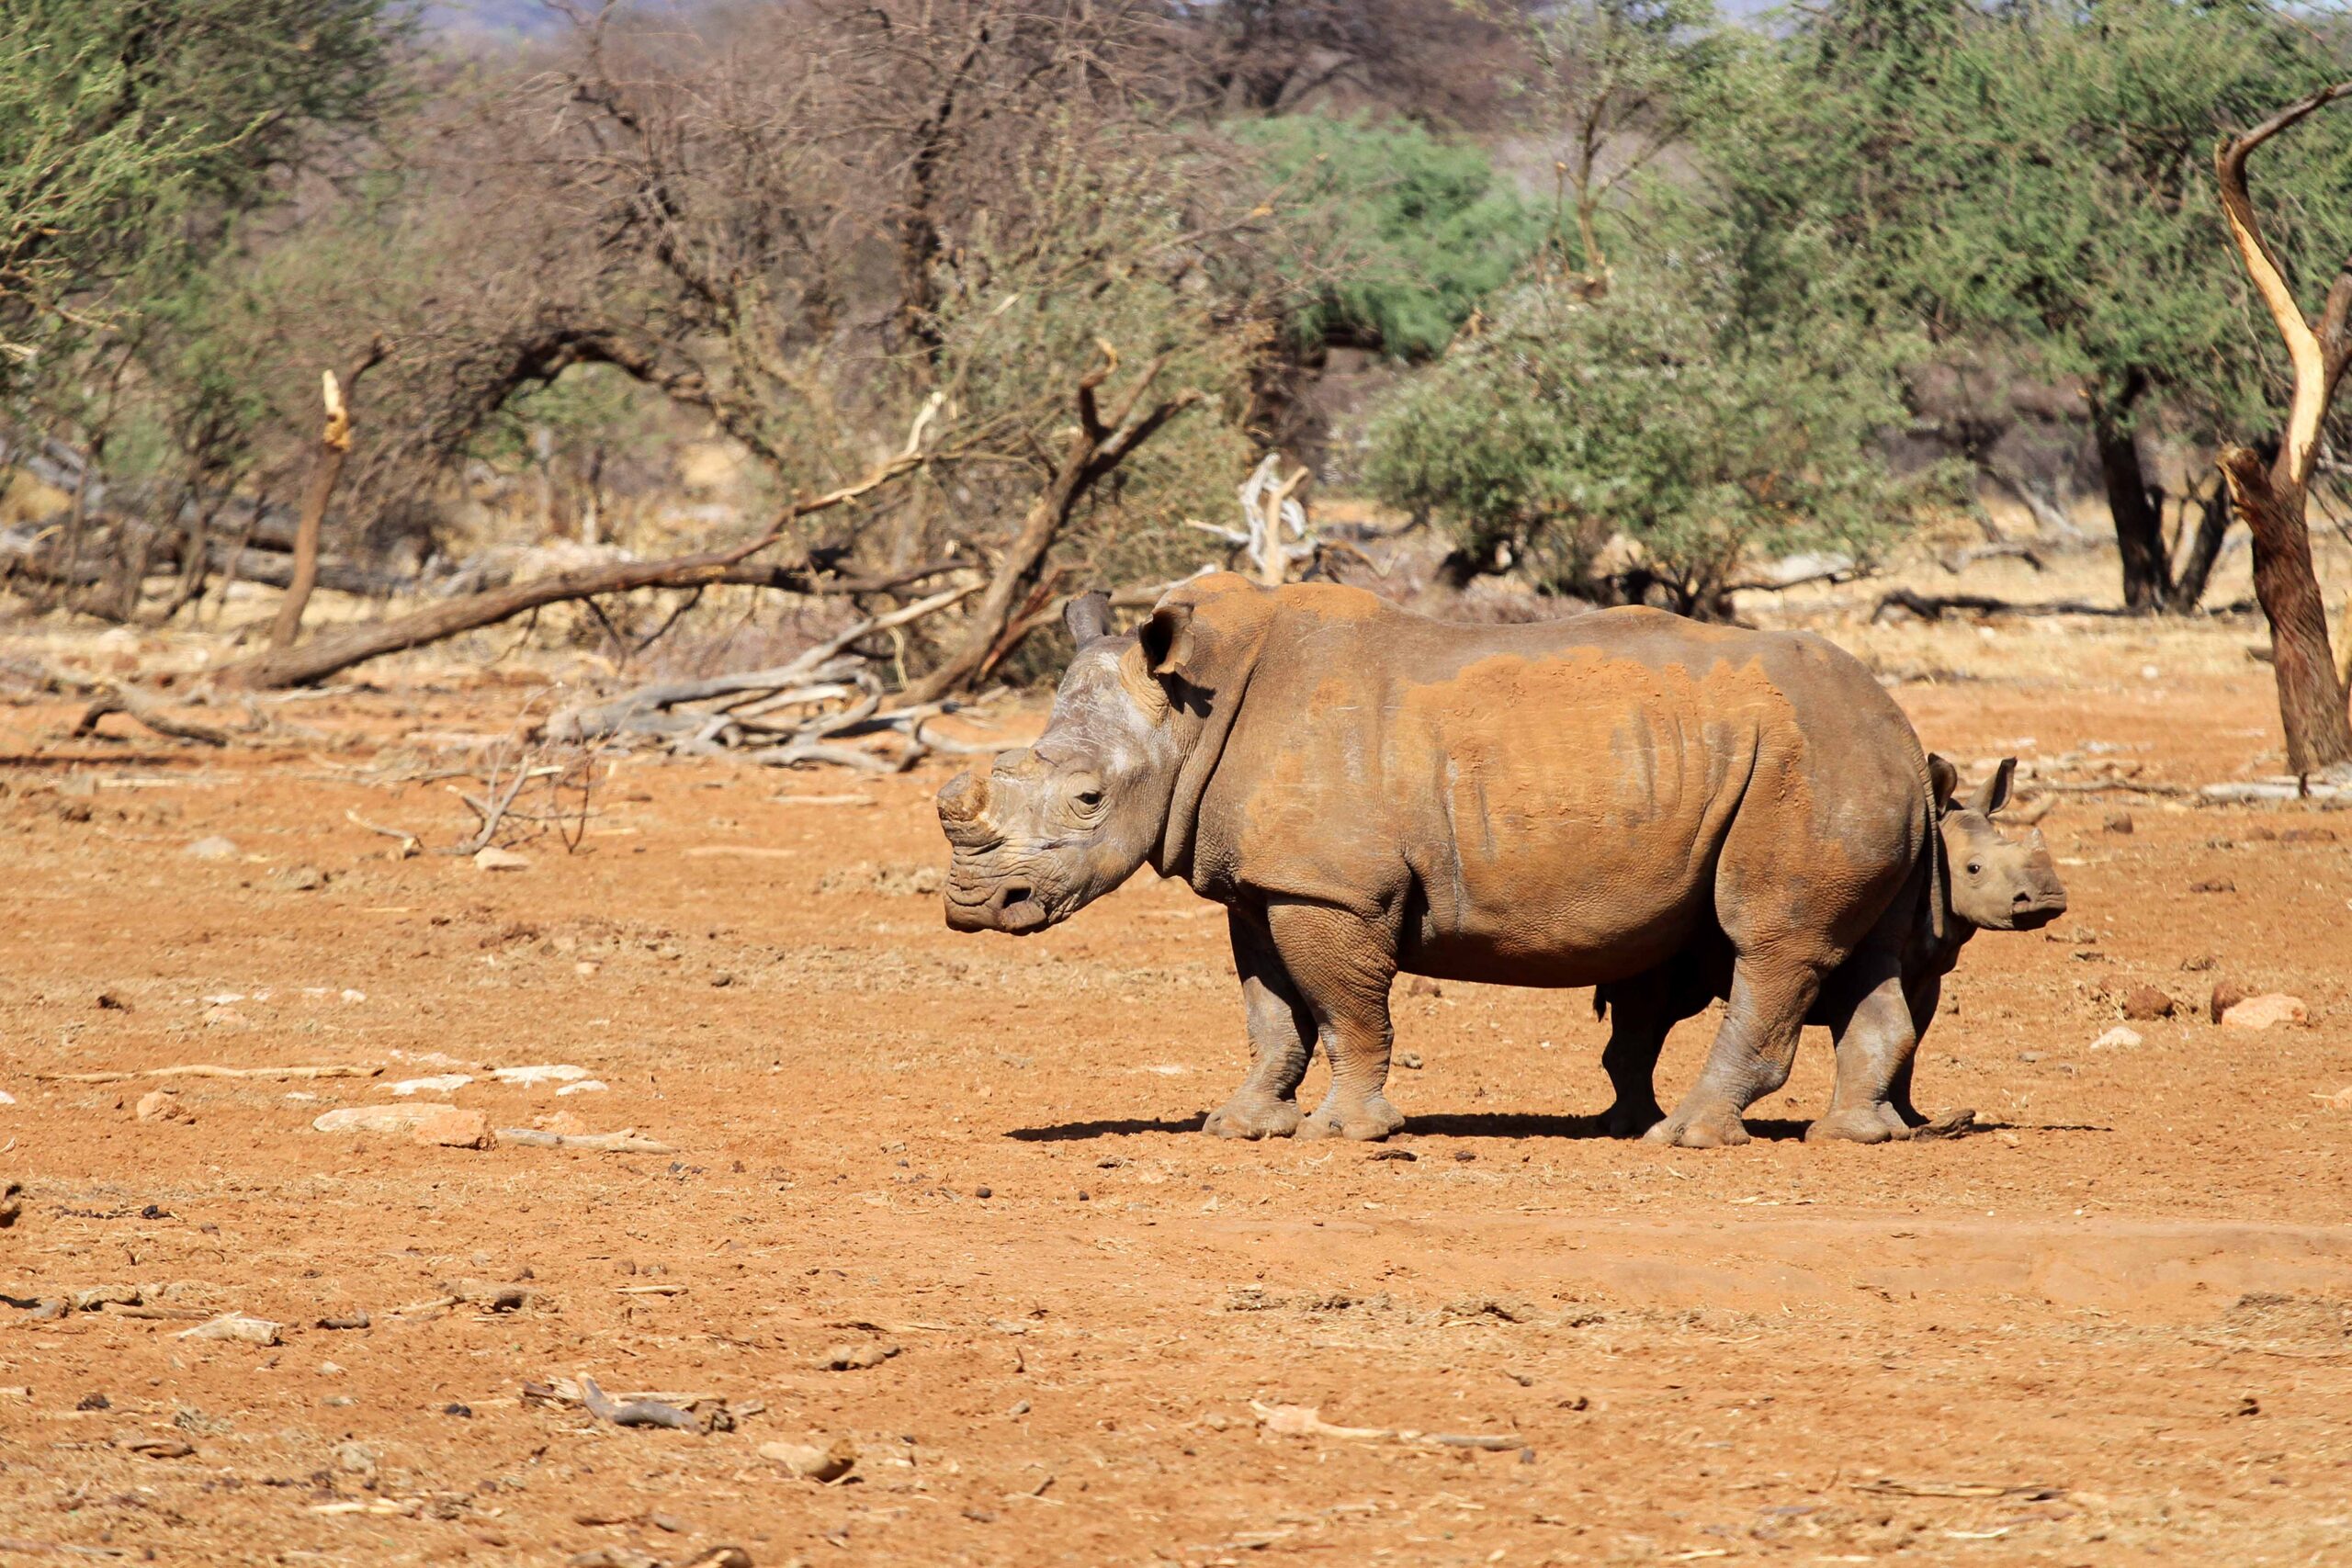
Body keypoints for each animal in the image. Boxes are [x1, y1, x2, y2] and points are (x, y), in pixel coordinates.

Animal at [937, 573, 1951, 1148]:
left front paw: (1346, 1133)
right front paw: (1239, 1125)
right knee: (1862, 958)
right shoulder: (1264, 884)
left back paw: (1685, 1137)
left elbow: (1346, 1011)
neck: (1189, 707)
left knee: (1769, 943)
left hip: (1804, 768)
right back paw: (1851, 1136)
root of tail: (1902, 726)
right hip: (1843, 763)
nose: (973, 907)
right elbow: (1270, 1013)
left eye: (1088, 799)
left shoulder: (1334, 888)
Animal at [1591, 754, 2067, 1141]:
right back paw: (1636, 1125)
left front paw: (1911, 1120)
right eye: (1974, 869)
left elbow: (1909, 1038)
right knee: (1655, 1000)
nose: (2048, 898)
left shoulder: (1926, 971)